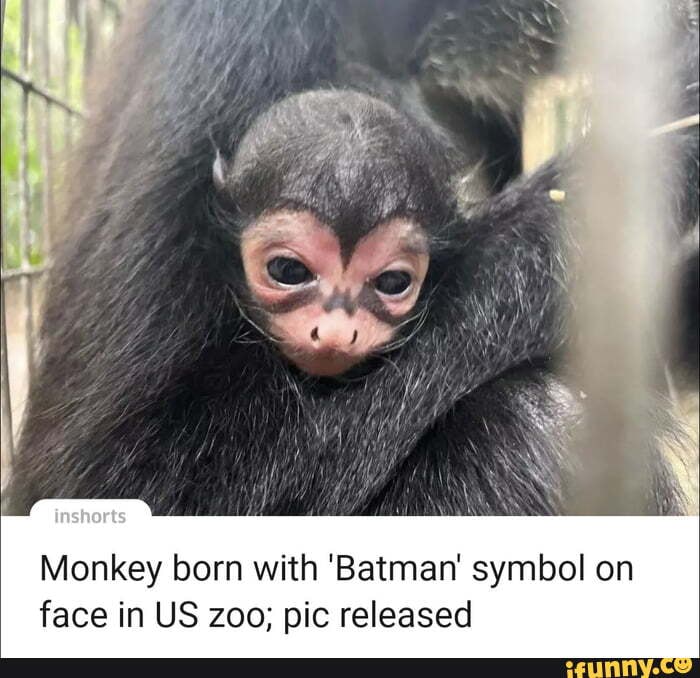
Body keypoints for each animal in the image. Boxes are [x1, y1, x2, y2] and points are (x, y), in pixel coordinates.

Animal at [3, 0, 698, 515]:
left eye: (391, 281)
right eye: (288, 272)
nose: (336, 328)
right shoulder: (235, 26)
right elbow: (106, 482)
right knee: (535, 419)